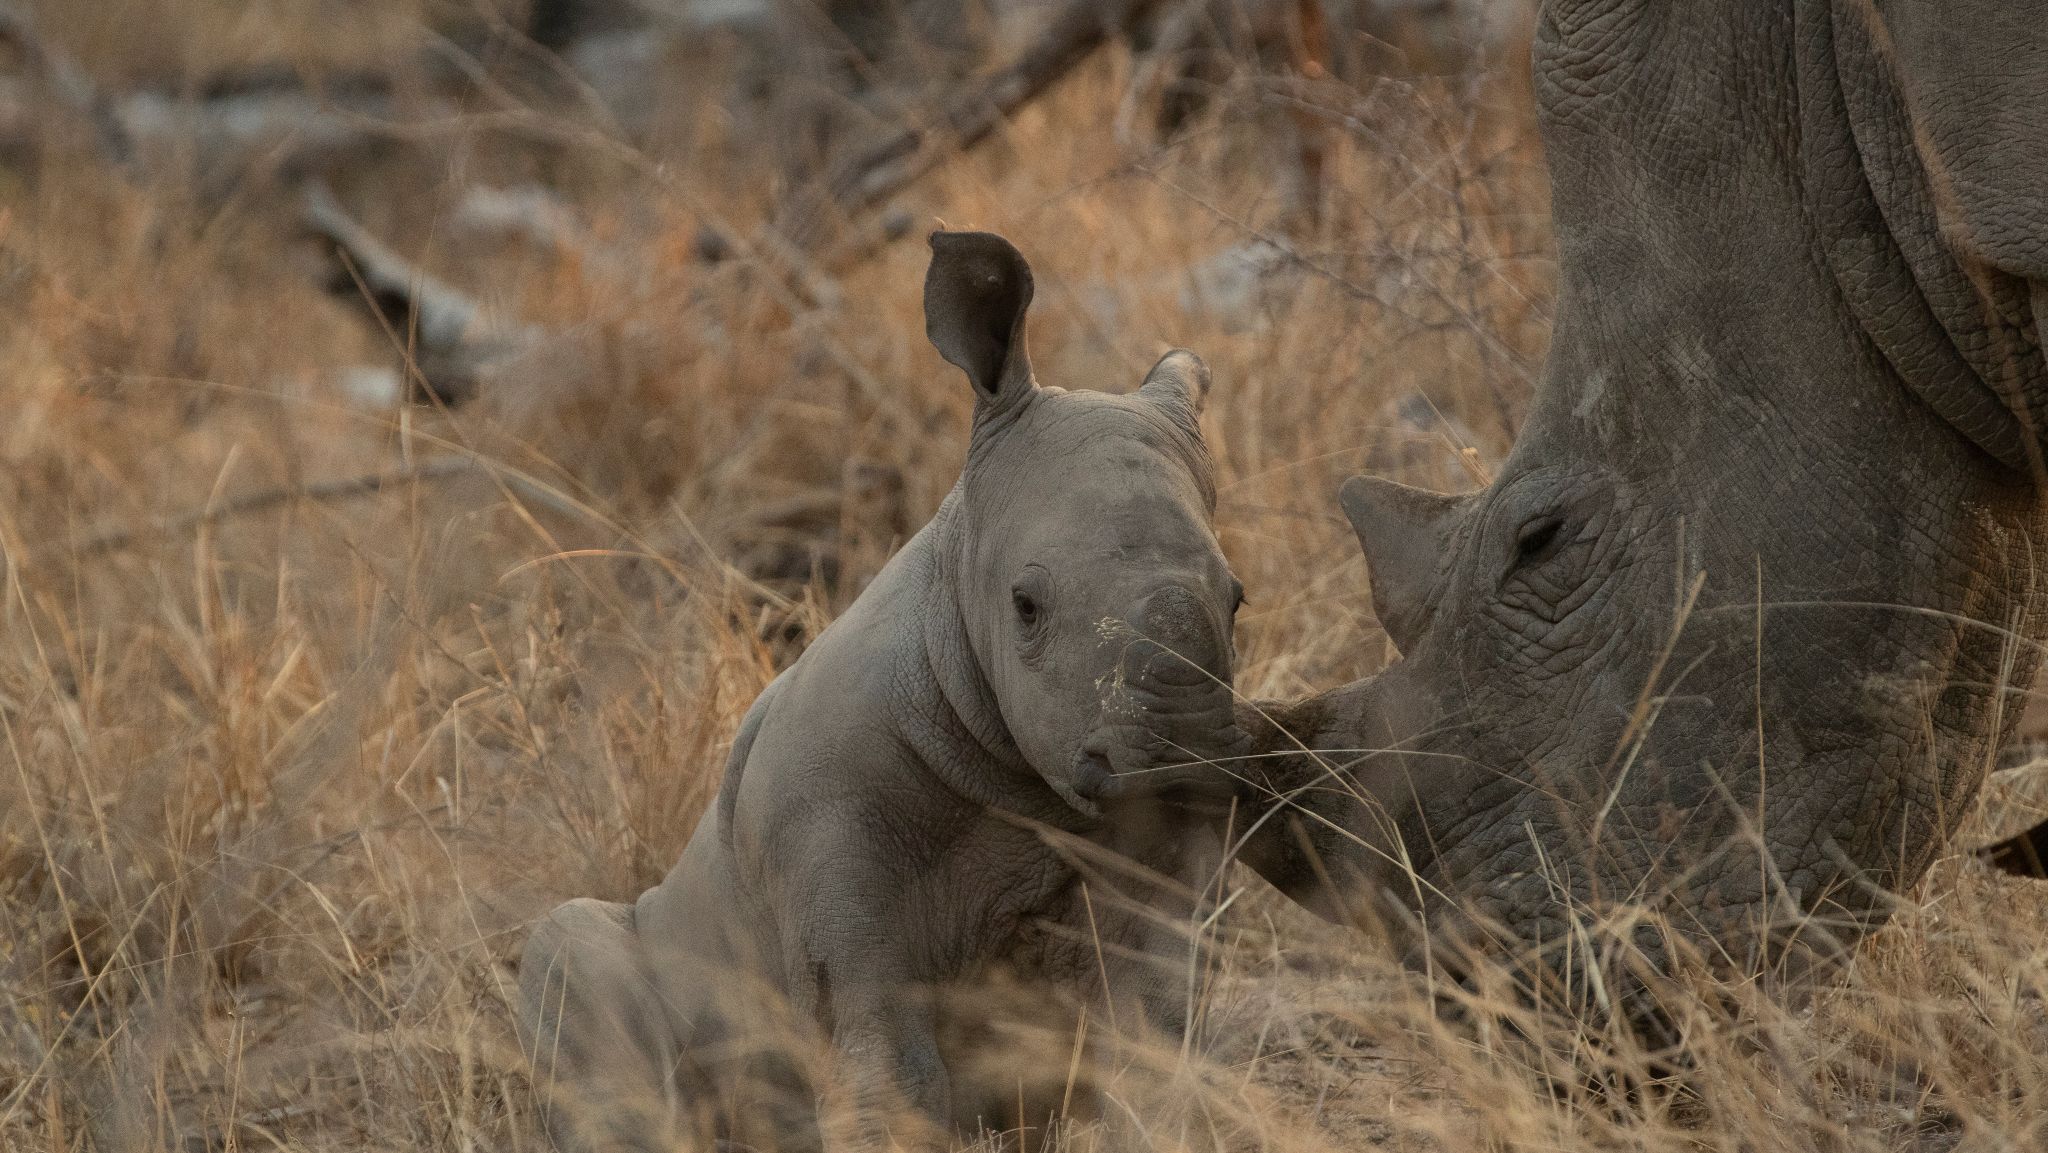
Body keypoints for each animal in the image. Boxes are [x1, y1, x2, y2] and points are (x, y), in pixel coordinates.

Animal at [517, 231, 1248, 1151]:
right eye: (1026, 605)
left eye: (1238, 599)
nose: (1178, 744)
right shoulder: (828, 820)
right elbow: (885, 1058)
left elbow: (1152, 1046)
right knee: (573, 956)